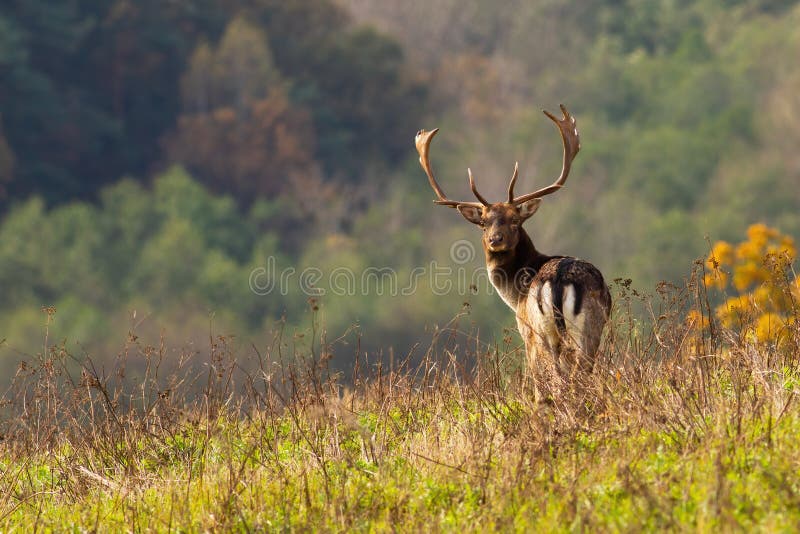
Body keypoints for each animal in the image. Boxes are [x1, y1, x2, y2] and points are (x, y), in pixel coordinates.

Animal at [415, 105, 611, 395]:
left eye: (515, 220)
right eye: (484, 223)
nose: (495, 239)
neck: (514, 295)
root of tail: (557, 283)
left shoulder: (525, 328)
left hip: (559, 332)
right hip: (565, 332)